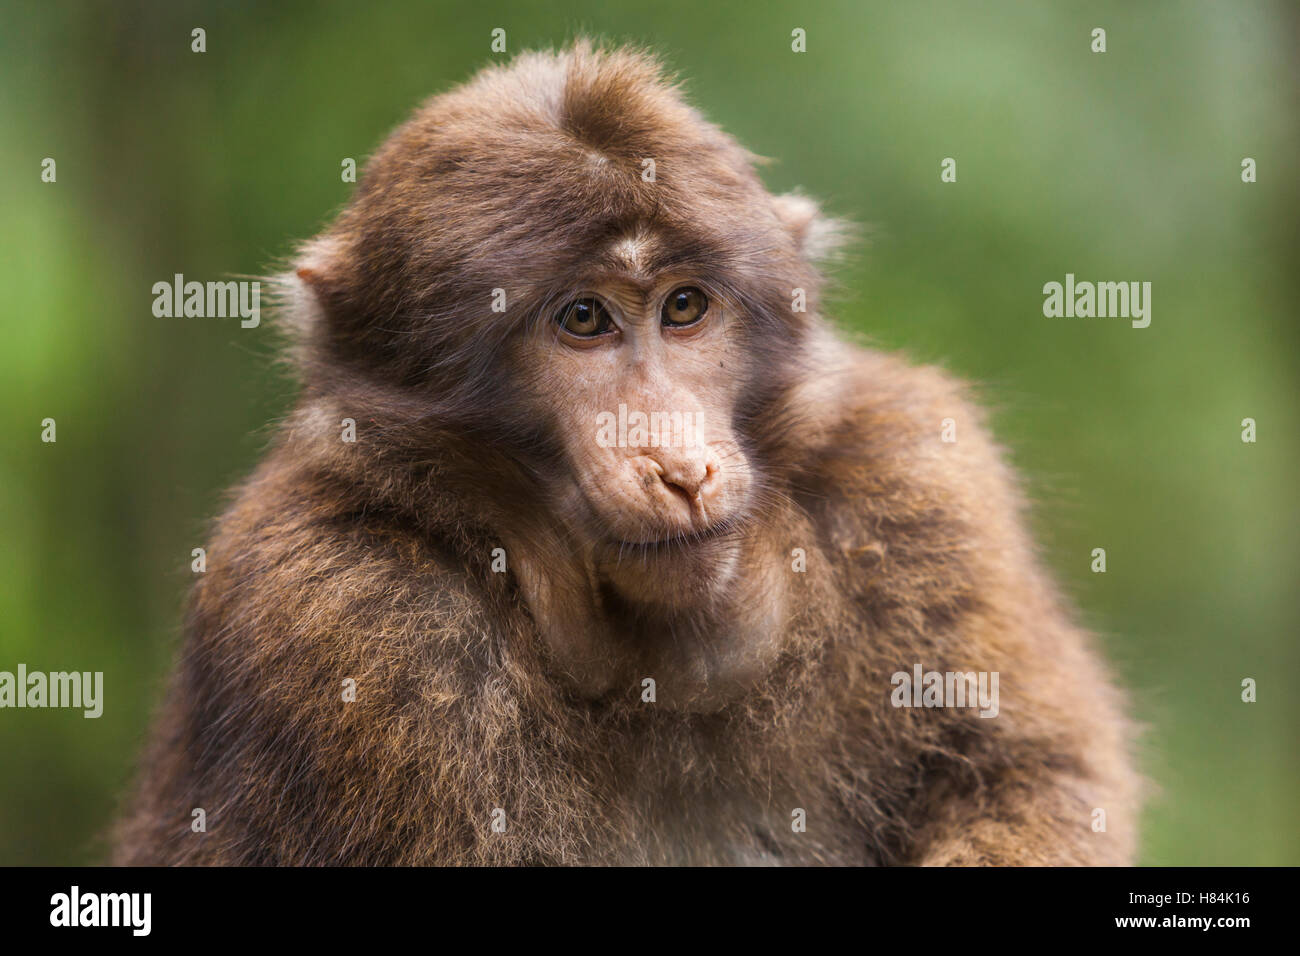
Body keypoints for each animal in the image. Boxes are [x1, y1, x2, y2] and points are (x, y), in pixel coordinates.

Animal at [113, 41, 1139, 866]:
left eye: (684, 307)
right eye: (582, 320)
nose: (678, 467)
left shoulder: (919, 482)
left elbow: (1032, 777)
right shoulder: (340, 612)